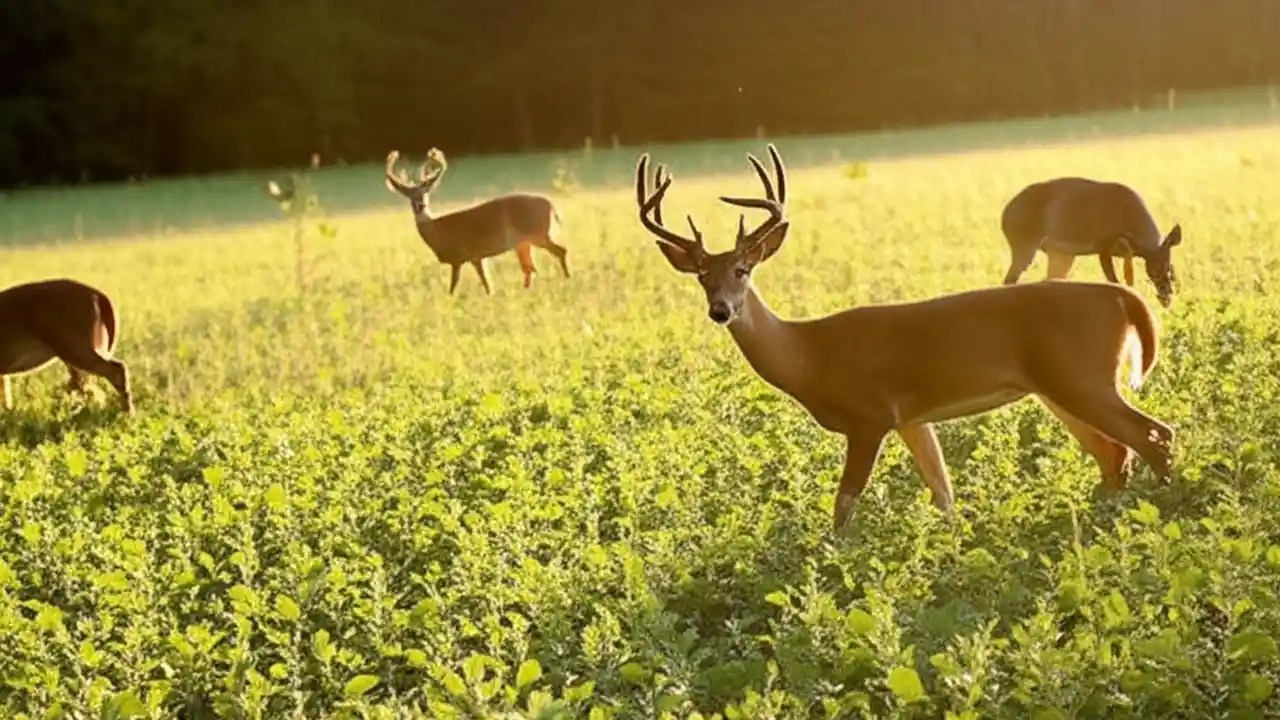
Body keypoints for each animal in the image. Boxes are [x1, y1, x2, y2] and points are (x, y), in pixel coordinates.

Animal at [0, 278, 133, 414]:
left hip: (73, 346)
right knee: (82, 383)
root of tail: (95, 294)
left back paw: (127, 413)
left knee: (116, 370)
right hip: (75, 351)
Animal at [384, 148, 570, 294]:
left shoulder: (469, 254)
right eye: (409, 196)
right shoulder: (466, 259)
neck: (438, 231)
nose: (420, 206)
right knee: (530, 268)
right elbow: (464, 285)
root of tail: (551, 205)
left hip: (537, 234)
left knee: (560, 251)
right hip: (523, 242)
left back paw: (568, 279)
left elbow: (471, 284)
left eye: (425, 193)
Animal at [1000, 177, 1183, 308]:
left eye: (1169, 267)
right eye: (1151, 272)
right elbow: (1114, 281)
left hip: (1061, 254)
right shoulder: (1103, 246)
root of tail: (1005, 216)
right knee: (1010, 280)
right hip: (1024, 245)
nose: (1166, 297)